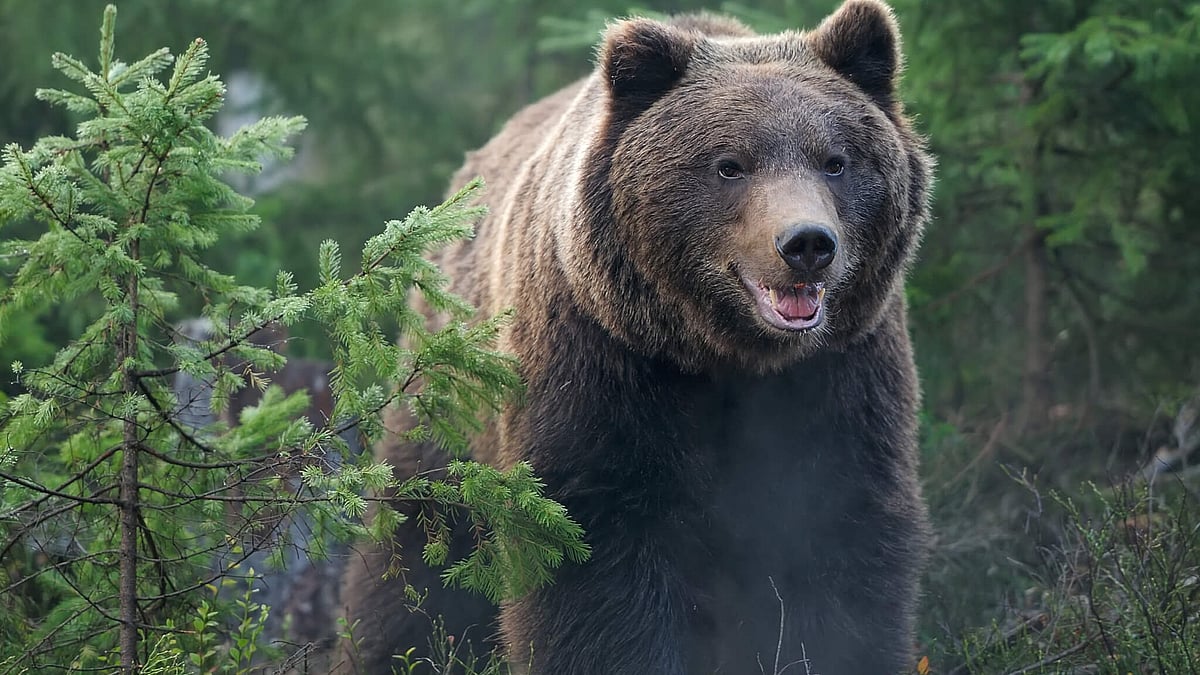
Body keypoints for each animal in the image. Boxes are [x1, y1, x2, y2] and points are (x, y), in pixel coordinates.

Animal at [336, 1, 933, 673]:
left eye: (836, 160)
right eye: (730, 164)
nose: (806, 243)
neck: (726, 355)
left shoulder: (841, 372)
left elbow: (841, 538)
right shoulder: (602, 362)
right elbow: (593, 551)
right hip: (453, 401)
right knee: (414, 542)